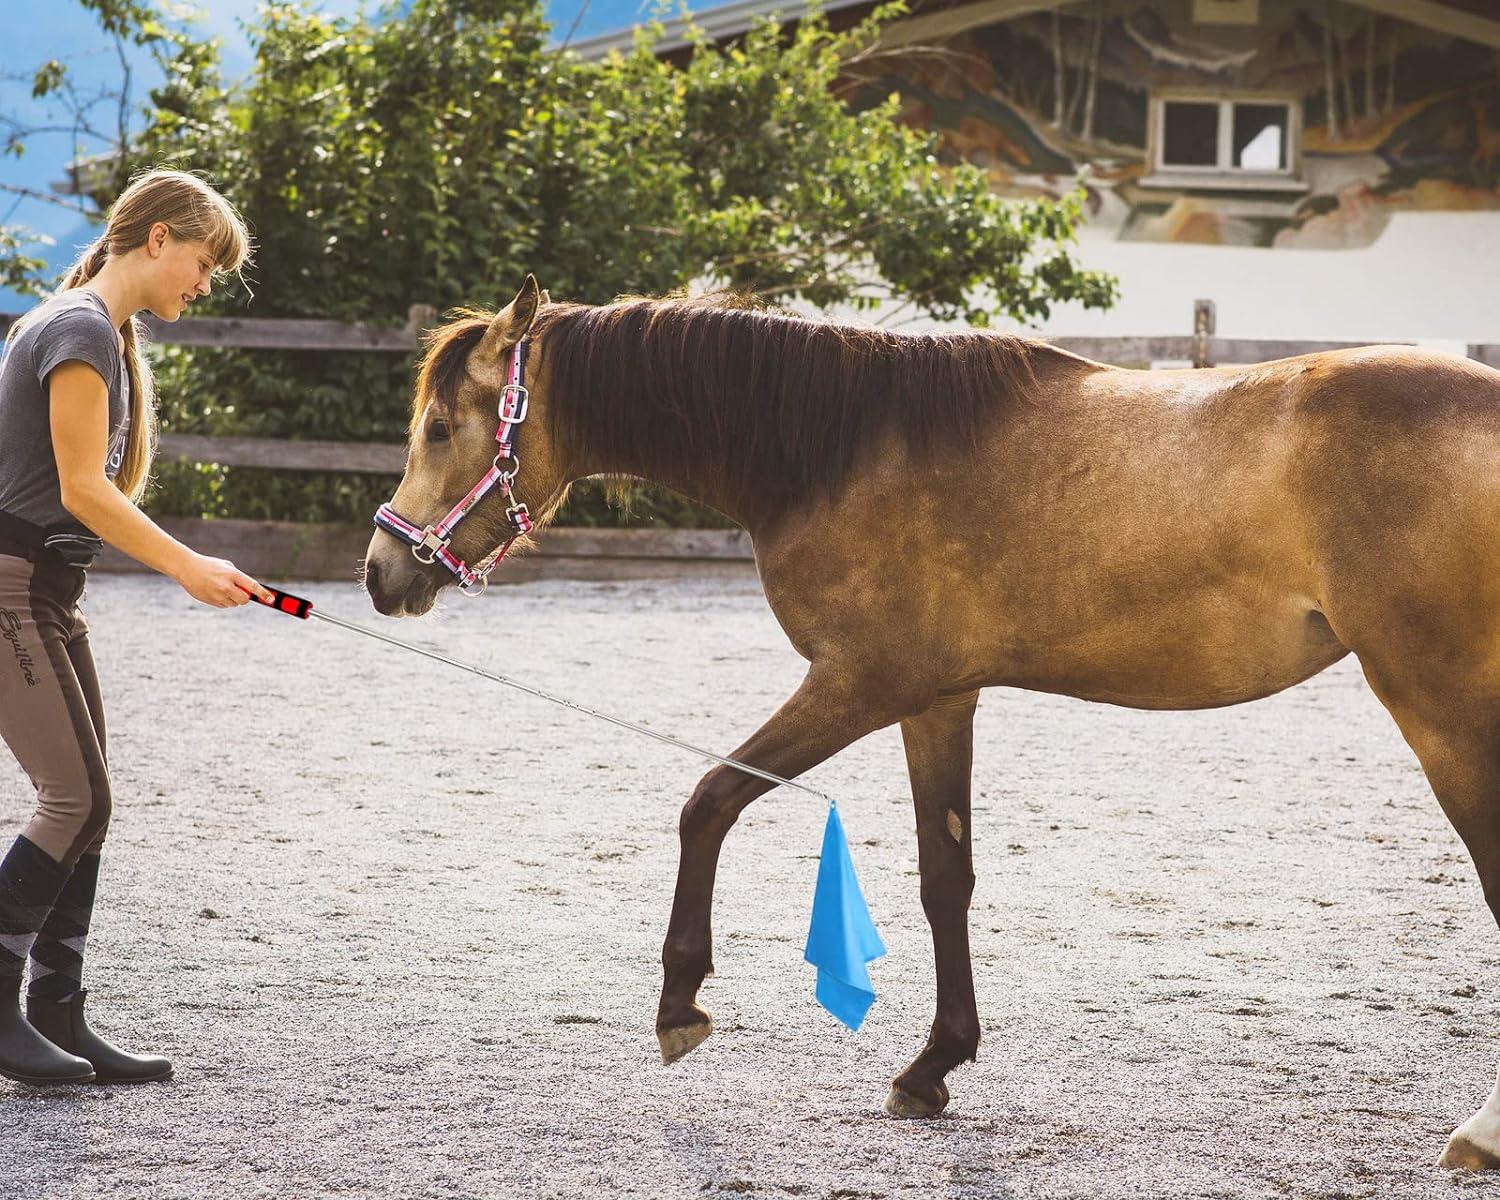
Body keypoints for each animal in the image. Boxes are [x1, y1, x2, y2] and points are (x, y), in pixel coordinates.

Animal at [363, 276, 1500, 1168]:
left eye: (437, 427)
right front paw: (934, 1064)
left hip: (1439, 706)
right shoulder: (937, 700)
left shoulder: (860, 681)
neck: (841, 445)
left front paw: (681, 1003)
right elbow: (944, 876)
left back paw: (1478, 1130)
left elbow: (710, 800)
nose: (381, 573)